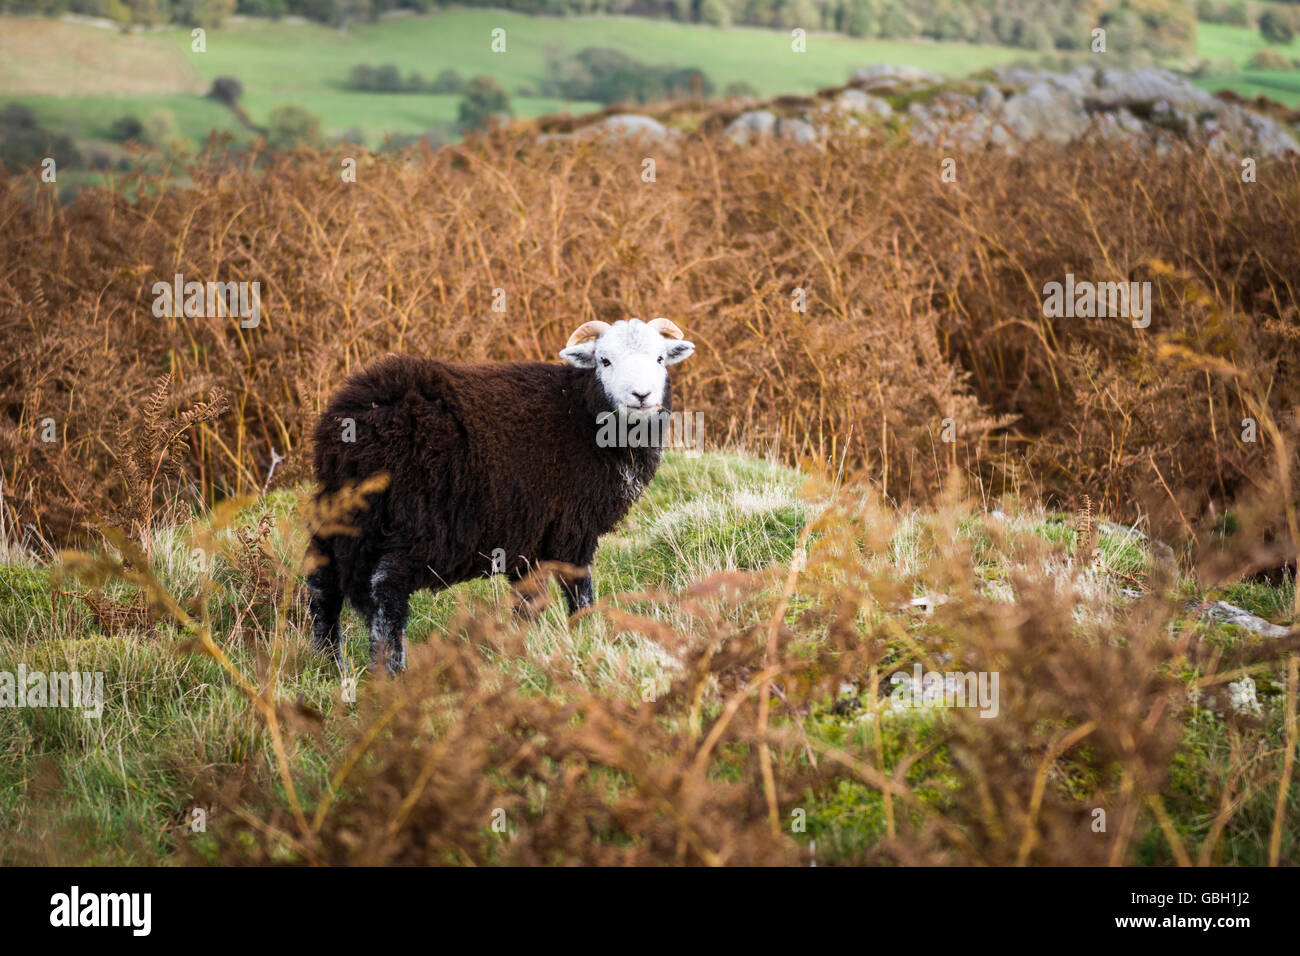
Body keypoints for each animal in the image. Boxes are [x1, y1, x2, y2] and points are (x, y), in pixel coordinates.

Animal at [306, 317, 696, 671]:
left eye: (660, 358)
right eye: (604, 361)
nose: (642, 396)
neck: (584, 414)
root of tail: (354, 423)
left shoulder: (529, 530)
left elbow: (528, 597)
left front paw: (525, 645)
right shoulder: (573, 524)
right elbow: (579, 586)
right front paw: (587, 632)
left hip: (342, 511)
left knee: (322, 582)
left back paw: (328, 663)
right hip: (418, 520)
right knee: (387, 588)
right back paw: (392, 670)